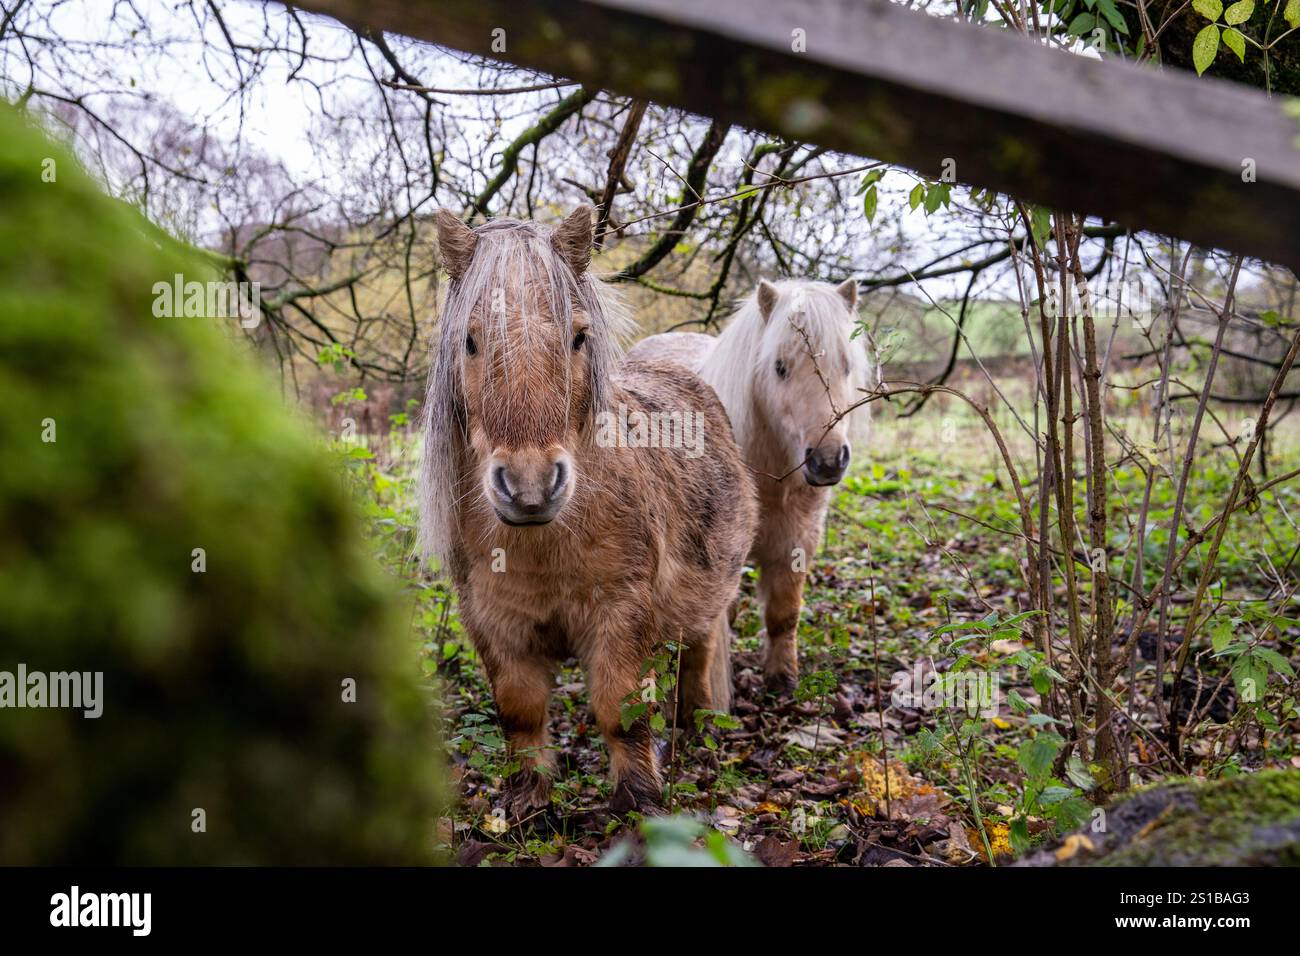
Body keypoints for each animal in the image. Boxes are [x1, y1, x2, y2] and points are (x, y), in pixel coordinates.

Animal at [419, 206, 757, 816]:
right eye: (470, 341)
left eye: (578, 337)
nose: (529, 487)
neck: (547, 544)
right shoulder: (495, 624)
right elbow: (520, 714)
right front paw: (528, 805)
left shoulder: (621, 616)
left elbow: (620, 711)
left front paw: (640, 803)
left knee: (700, 650)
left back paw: (700, 723)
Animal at [627, 278, 872, 691]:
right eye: (780, 367)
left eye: (846, 366)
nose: (827, 461)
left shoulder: (798, 541)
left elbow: (783, 615)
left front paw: (782, 677)